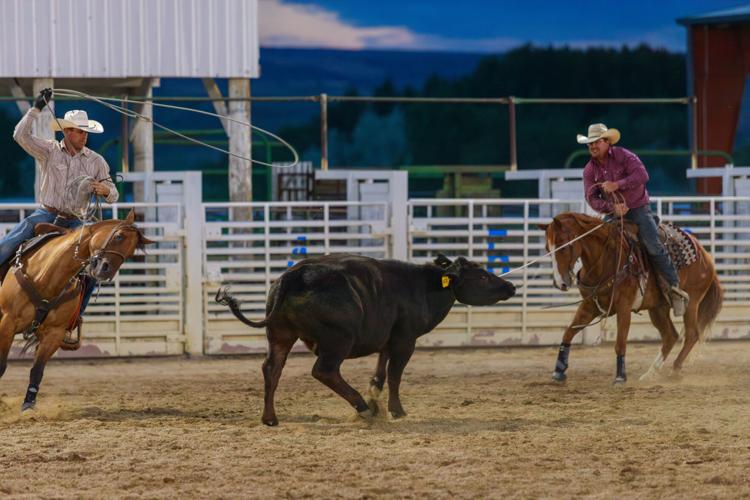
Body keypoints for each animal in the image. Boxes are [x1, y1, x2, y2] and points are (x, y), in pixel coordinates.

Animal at [215, 253, 516, 426]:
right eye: (481, 275)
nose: (510, 286)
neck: (423, 286)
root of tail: (292, 276)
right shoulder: (405, 340)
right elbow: (395, 375)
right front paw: (395, 410)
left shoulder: (388, 339)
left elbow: (380, 371)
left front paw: (375, 395)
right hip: (338, 340)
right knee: (324, 371)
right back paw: (362, 408)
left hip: (280, 335)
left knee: (272, 369)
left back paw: (270, 418)